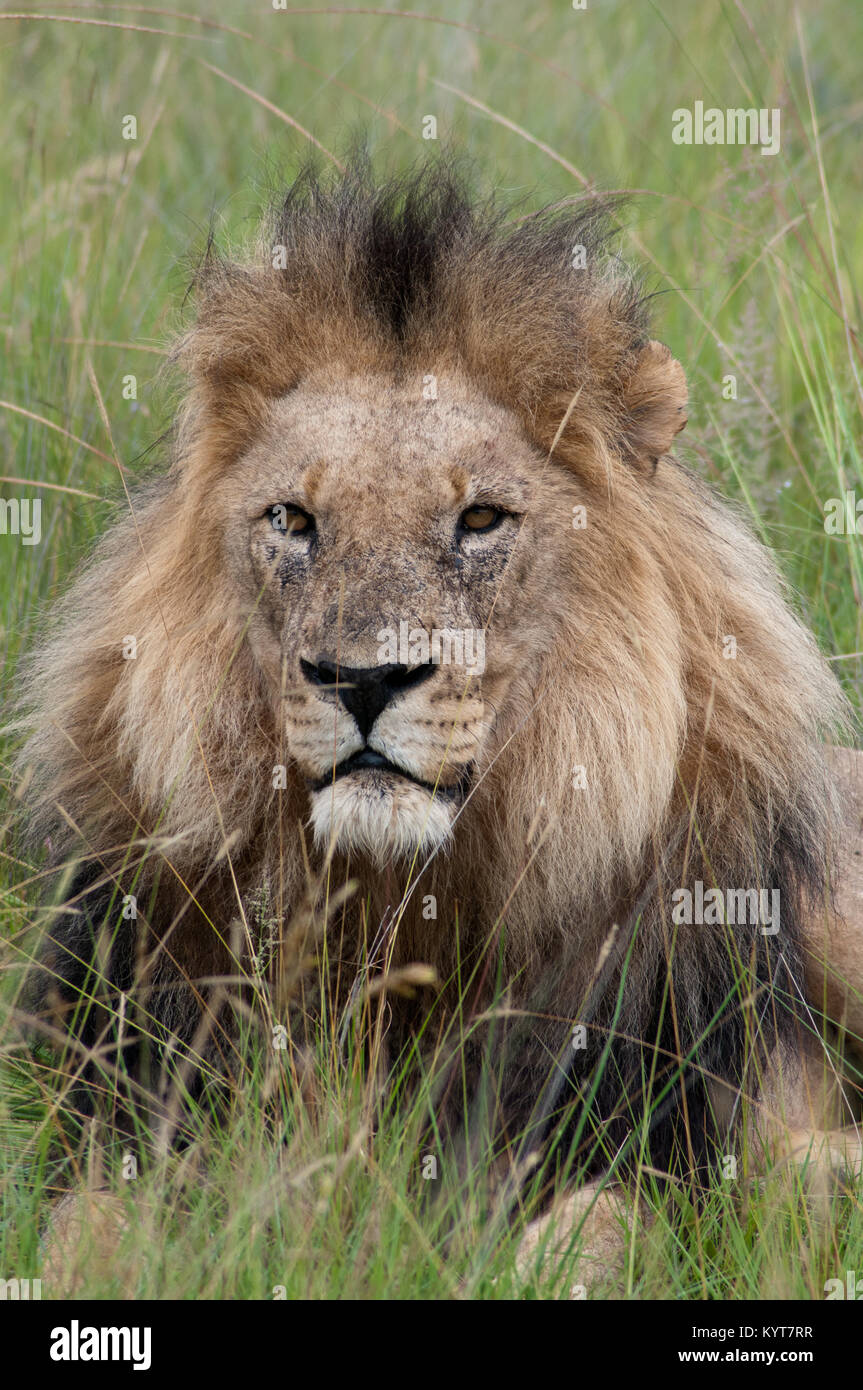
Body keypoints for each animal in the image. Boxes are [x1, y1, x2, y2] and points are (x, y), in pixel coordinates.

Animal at [16, 155, 863, 1284]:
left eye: (480, 521)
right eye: (292, 520)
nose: (361, 679)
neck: (396, 903)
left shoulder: (663, 1149)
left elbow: (602, 1226)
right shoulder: (126, 1114)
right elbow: (87, 1224)